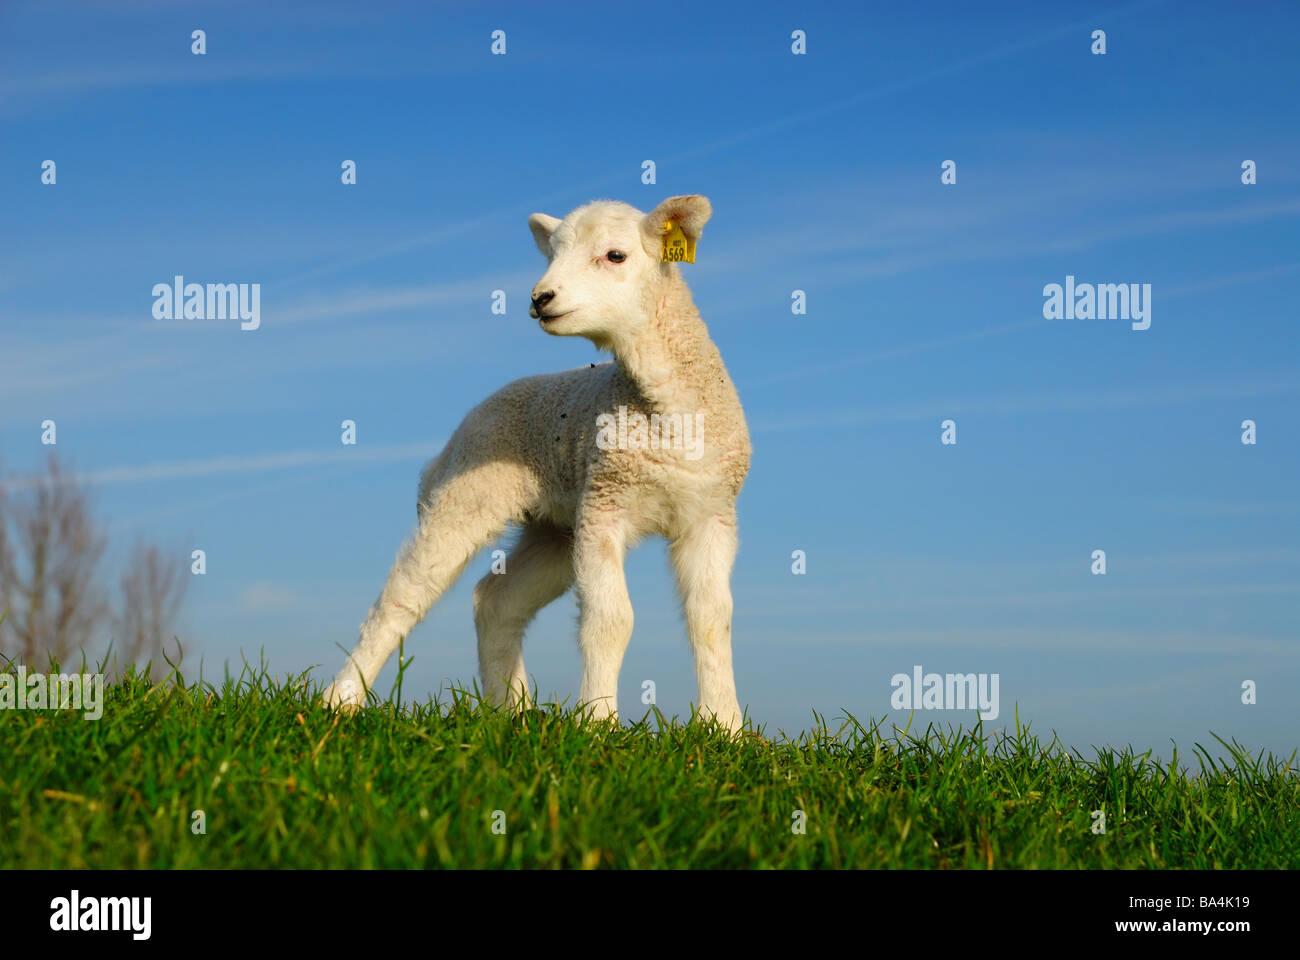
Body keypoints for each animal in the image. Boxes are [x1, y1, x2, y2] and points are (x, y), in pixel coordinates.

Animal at [322, 195, 752, 732]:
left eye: (615, 255)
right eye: (553, 254)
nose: (541, 297)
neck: (666, 415)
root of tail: (457, 434)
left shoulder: (711, 512)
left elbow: (712, 619)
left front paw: (727, 729)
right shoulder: (604, 502)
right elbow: (611, 619)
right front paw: (598, 723)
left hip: (554, 529)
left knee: (496, 600)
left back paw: (513, 713)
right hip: (469, 490)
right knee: (402, 596)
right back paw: (339, 701)